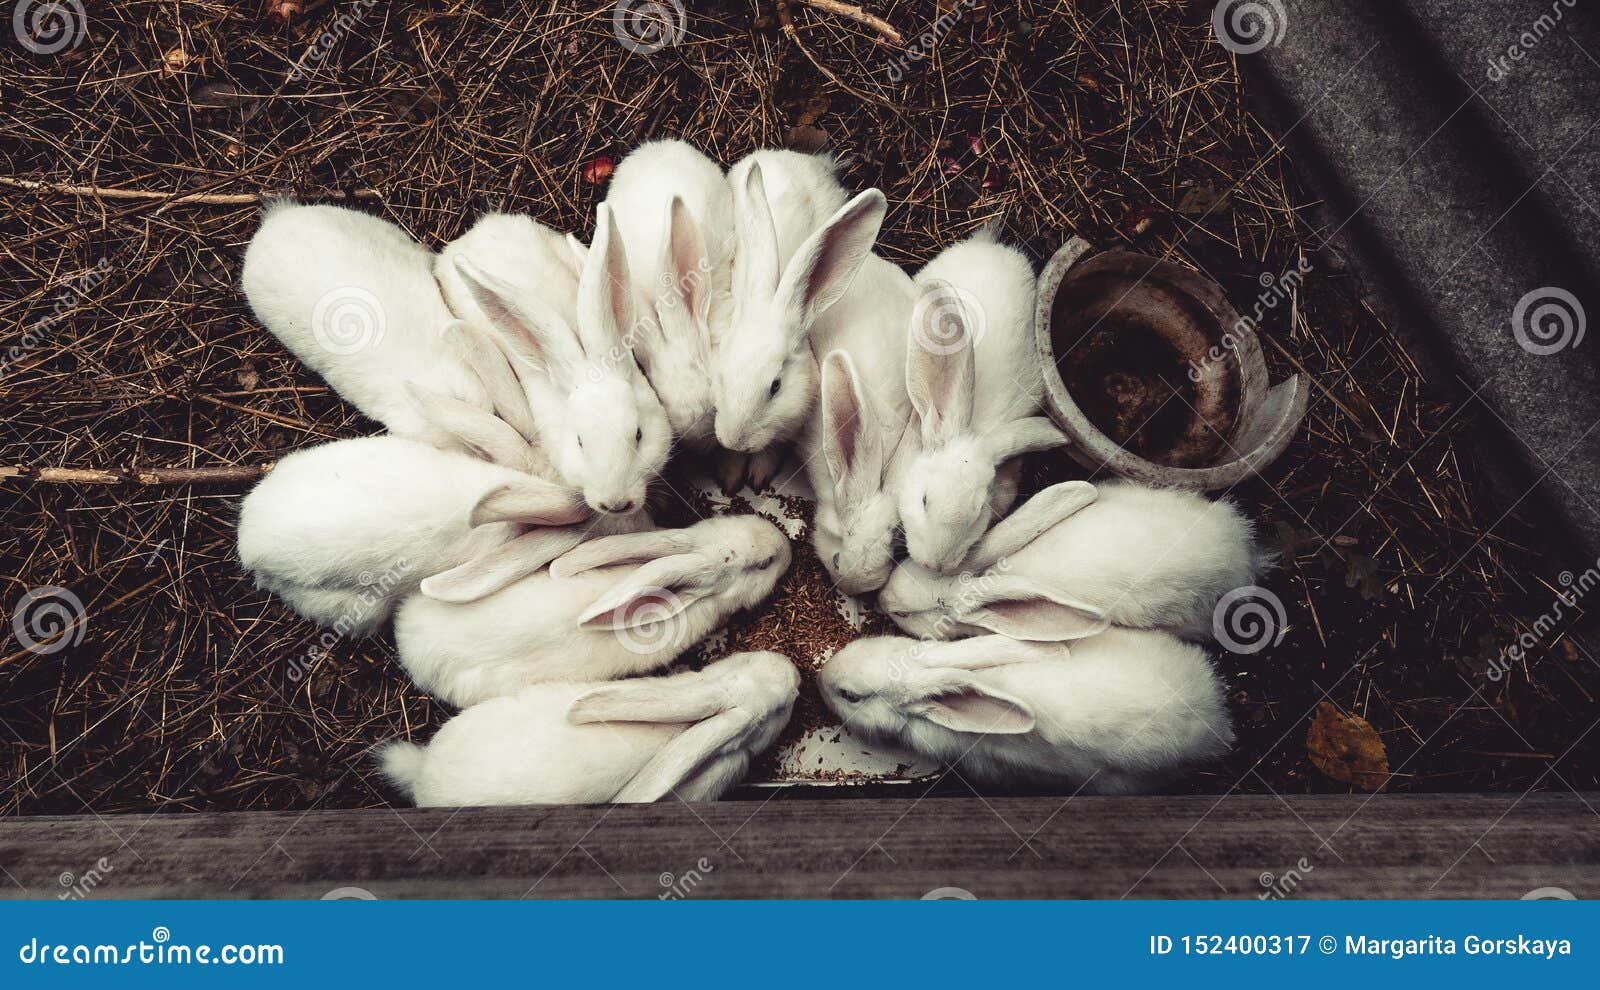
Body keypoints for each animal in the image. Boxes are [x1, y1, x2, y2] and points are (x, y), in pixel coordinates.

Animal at [711, 150, 887, 491]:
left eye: (776, 386)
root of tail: (808, 160)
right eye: (722, 376)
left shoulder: (791, 424)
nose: (735, 439)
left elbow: (773, 448)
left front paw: (758, 476)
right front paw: (730, 475)